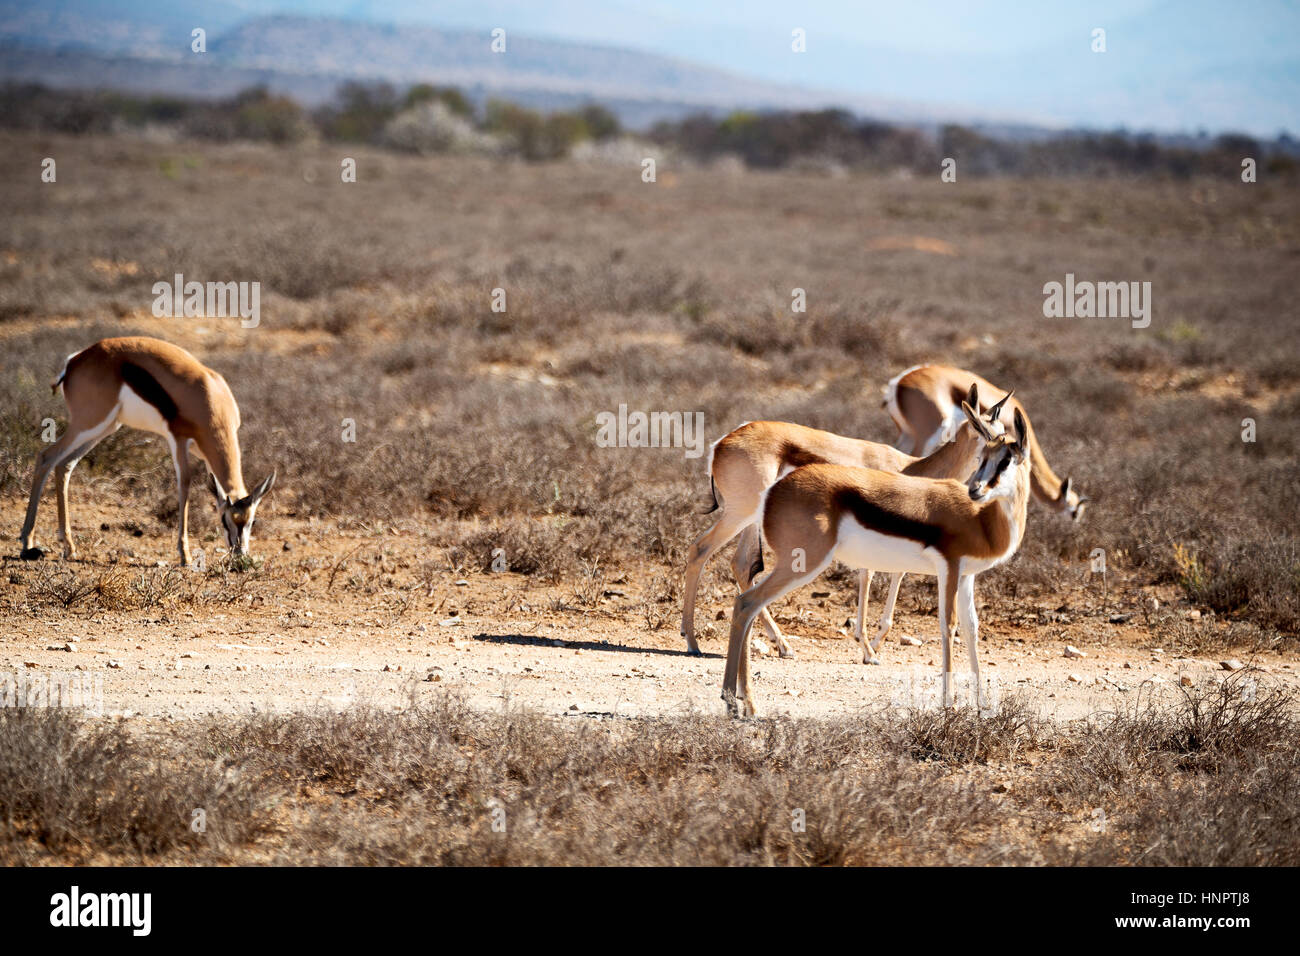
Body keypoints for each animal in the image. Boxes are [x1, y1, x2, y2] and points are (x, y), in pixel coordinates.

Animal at [18, 337, 275, 566]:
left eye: (251, 521)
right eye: (224, 519)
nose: (239, 553)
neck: (211, 398)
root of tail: (75, 360)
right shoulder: (178, 440)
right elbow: (185, 484)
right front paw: (185, 555)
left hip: (105, 427)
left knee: (65, 464)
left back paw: (68, 547)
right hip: (88, 423)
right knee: (46, 457)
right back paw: (27, 542)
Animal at [682, 385, 1011, 663]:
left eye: (1006, 434)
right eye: (985, 434)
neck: (911, 468)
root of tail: (721, 443)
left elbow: (897, 572)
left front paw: (874, 644)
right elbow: (871, 576)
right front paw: (868, 650)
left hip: (751, 521)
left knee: (741, 565)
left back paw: (781, 645)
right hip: (740, 514)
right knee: (700, 549)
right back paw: (693, 642)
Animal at [722, 402, 1031, 718]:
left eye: (1005, 460)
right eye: (983, 457)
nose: (975, 490)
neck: (982, 521)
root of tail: (772, 492)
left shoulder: (967, 575)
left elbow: (971, 629)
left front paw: (983, 707)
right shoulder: (949, 569)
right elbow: (948, 626)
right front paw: (949, 704)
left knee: (745, 596)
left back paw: (743, 702)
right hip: (801, 563)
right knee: (745, 602)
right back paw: (738, 701)